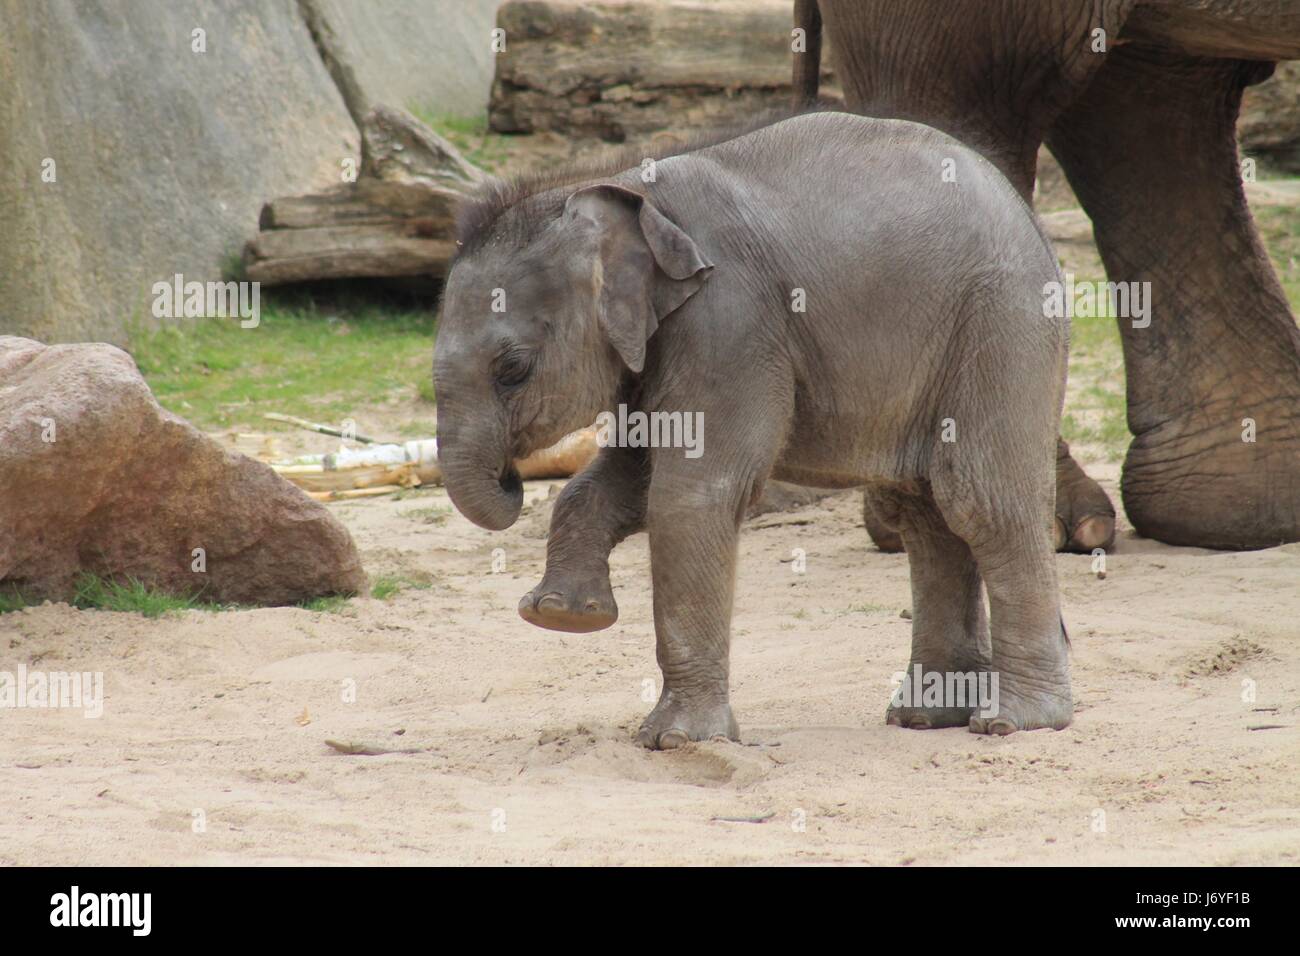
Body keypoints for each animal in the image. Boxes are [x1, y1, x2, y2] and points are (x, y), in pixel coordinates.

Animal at [434, 112, 1074, 747]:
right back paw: (926, 718)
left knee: (979, 500)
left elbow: (689, 495)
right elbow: (623, 480)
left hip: (1001, 321)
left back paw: (1014, 722)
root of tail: (1033, 222)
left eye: (513, 370)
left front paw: (676, 740)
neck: (621, 184)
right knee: (927, 513)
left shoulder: (731, 321)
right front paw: (563, 616)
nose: (513, 478)